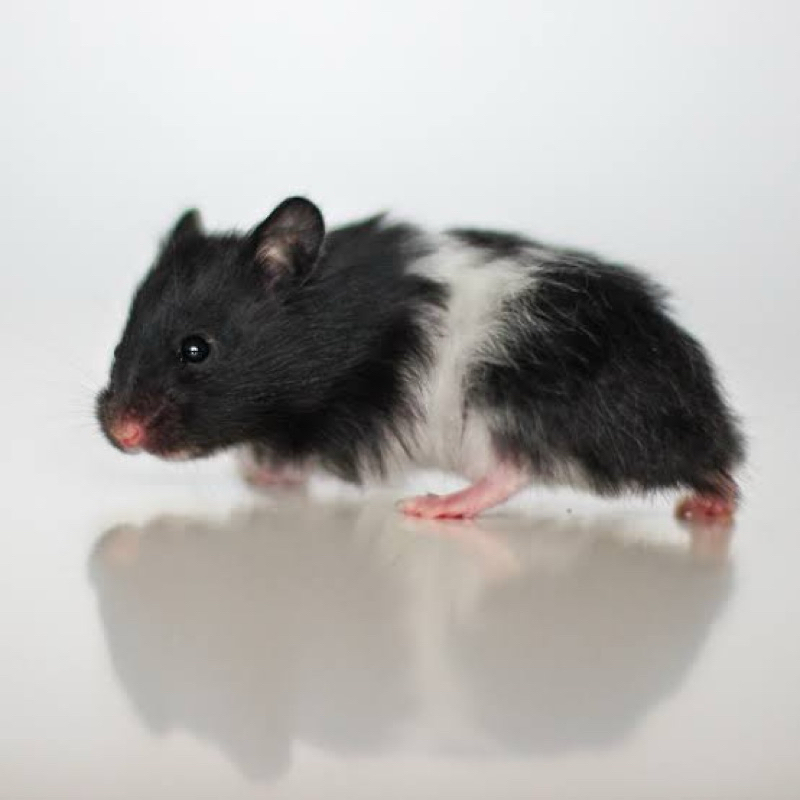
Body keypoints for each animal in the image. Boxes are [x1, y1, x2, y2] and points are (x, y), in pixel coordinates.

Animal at [96, 197, 745, 521]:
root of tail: (700, 422)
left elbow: (297, 456)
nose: (120, 433)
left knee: (512, 470)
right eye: (120, 339)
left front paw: (260, 471)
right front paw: (255, 470)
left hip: (501, 400)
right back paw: (708, 504)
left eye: (196, 349)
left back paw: (433, 507)